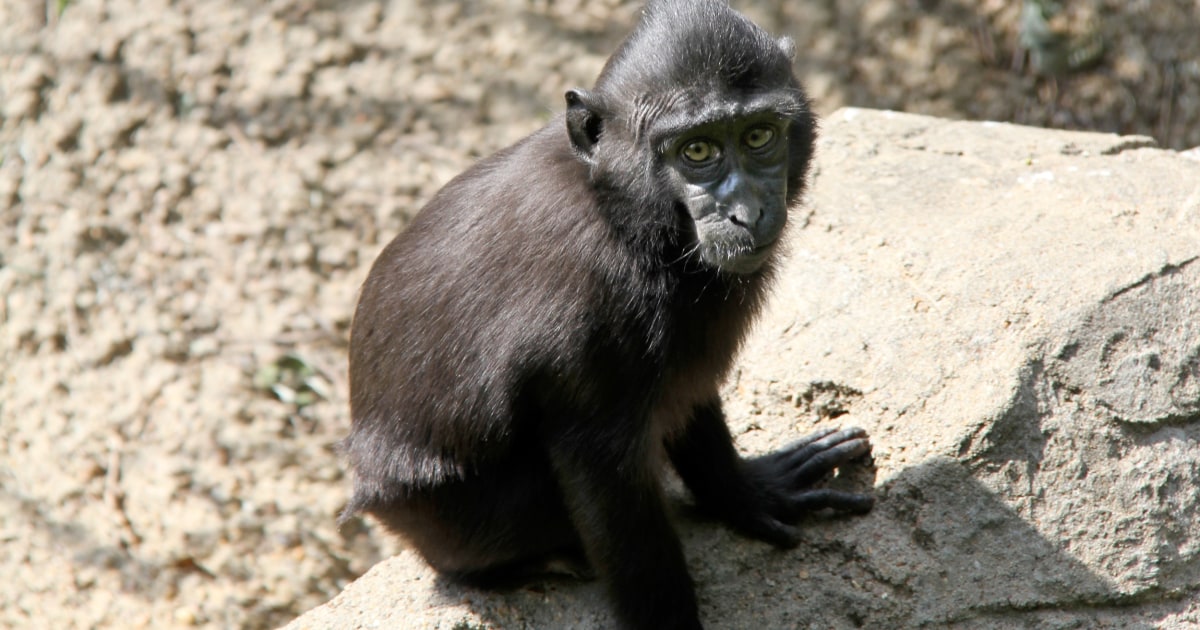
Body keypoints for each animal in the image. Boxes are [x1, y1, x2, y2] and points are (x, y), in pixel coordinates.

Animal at [341, 1, 874, 628]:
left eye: (759, 135)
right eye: (696, 151)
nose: (746, 213)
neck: (622, 211)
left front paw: (749, 494)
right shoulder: (595, 311)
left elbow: (688, 396)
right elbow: (613, 496)